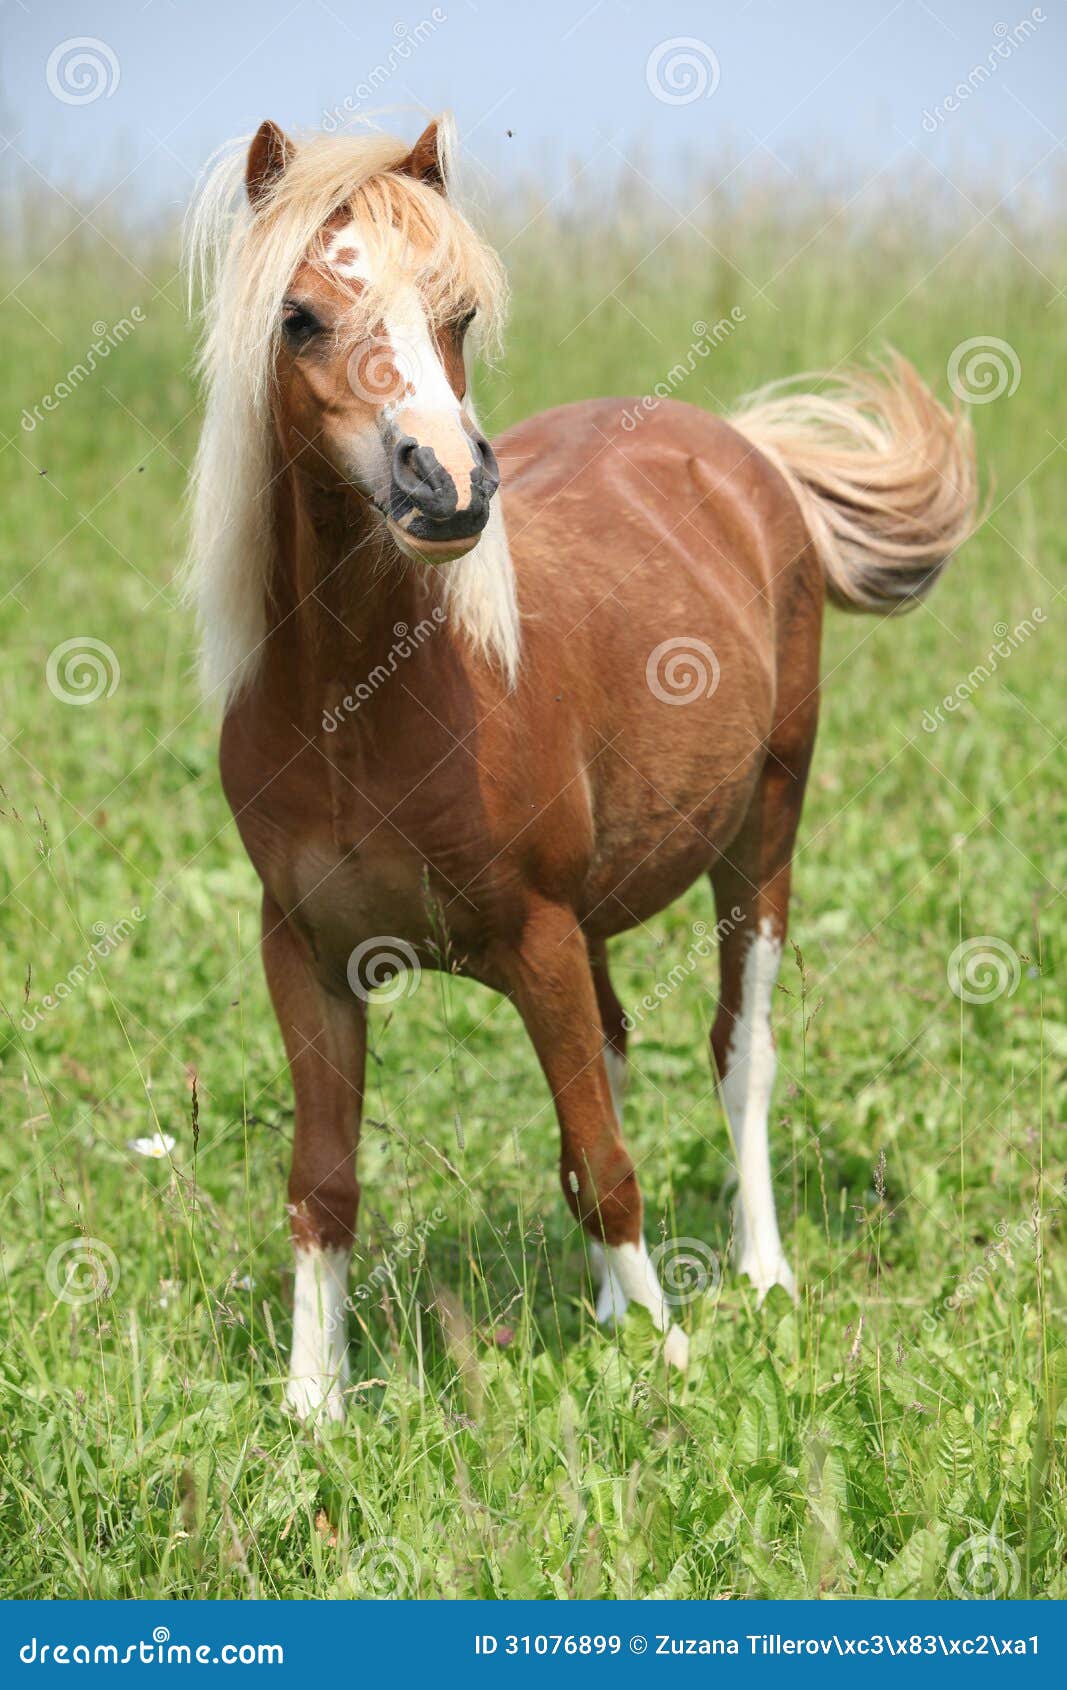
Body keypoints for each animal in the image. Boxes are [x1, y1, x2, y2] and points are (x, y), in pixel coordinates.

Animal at [186, 116, 978, 1420]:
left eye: (456, 312)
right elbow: (326, 1179)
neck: (360, 703)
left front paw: (668, 1357)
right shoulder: (304, 953)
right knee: (605, 1059)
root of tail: (743, 454)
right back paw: (609, 1306)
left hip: (760, 837)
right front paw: (312, 1402)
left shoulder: (537, 934)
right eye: (298, 317)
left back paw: (758, 1275)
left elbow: (605, 1159)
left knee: (736, 1052)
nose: (446, 486)